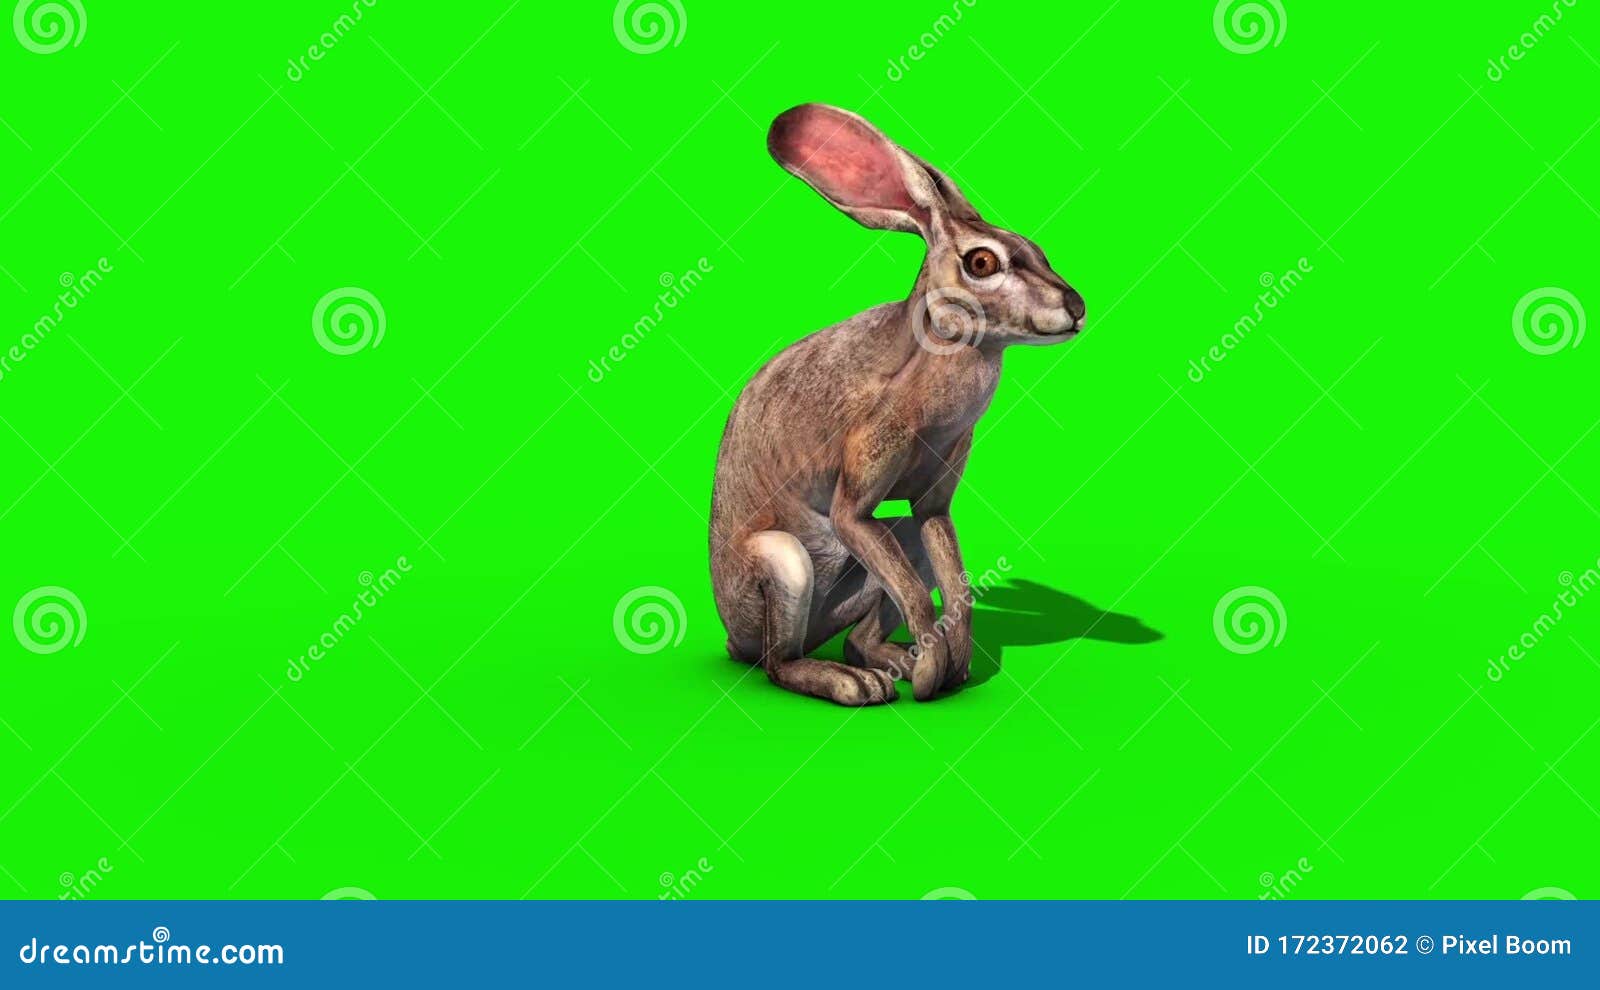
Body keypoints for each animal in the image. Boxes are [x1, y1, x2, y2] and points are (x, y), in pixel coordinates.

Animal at [710, 103, 1085, 705]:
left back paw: (891, 663)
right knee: (777, 662)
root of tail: (731, 636)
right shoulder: (858, 490)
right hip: (782, 564)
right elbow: (905, 582)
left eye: (1037, 249)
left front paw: (952, 671)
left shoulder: (933, 507)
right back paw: (852, 683)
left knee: (857, 631)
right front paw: (935, 675)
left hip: (891, 544)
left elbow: (954, 584)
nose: (1076, 307)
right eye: (982, 263)